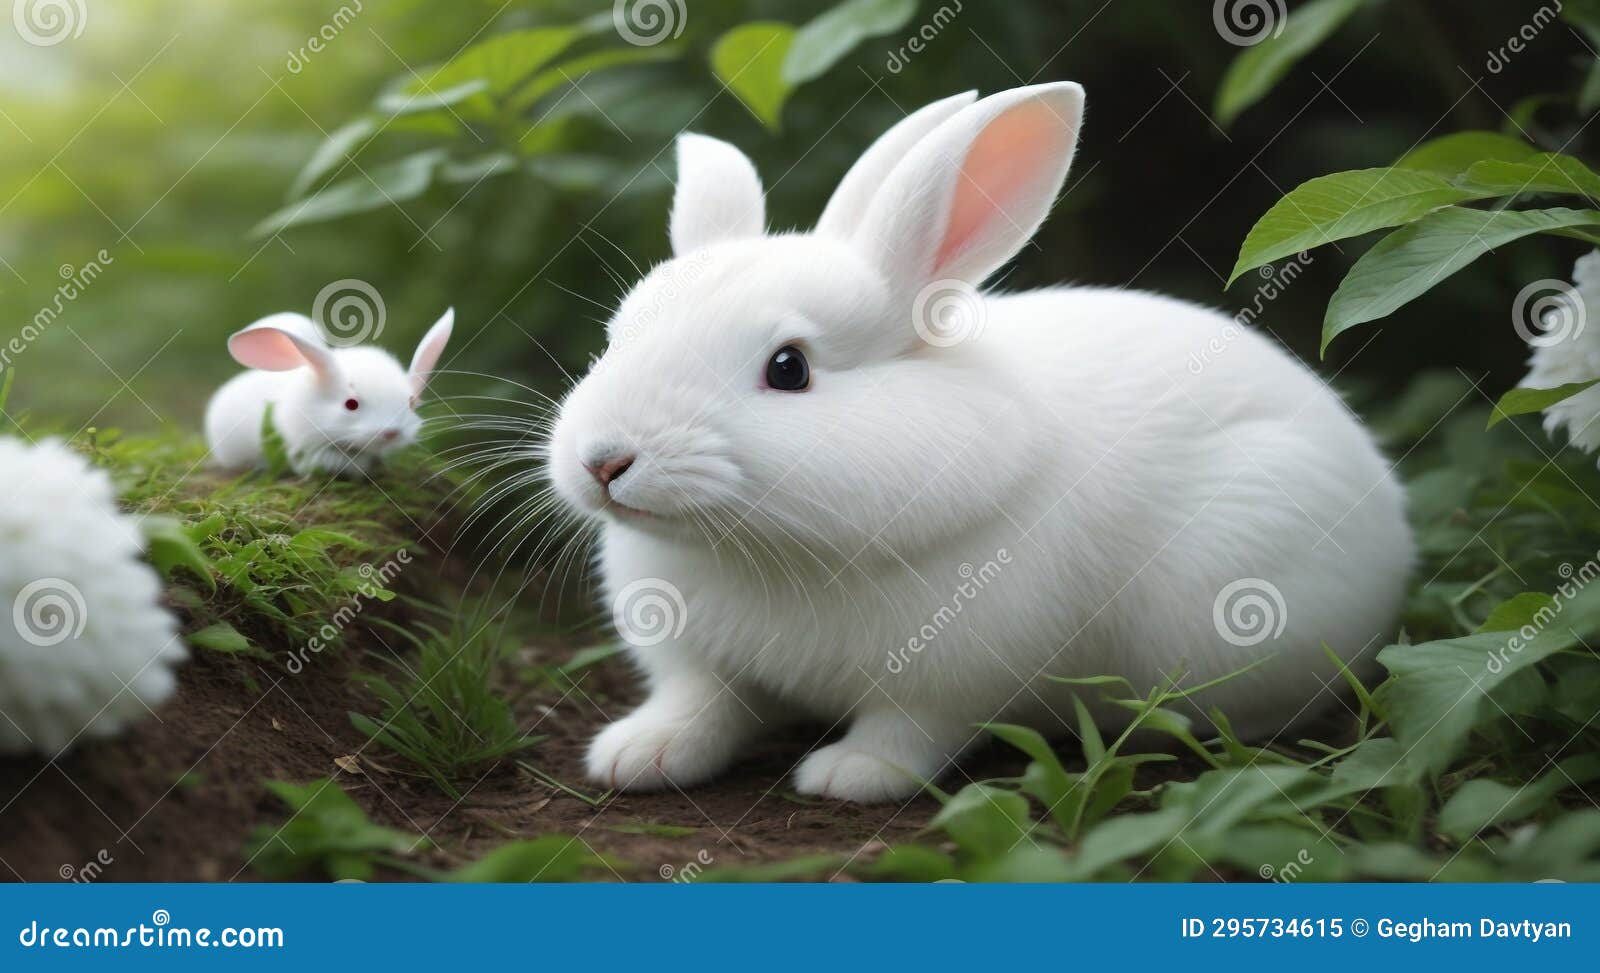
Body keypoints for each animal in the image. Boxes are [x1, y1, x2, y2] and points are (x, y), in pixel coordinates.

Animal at [544, 83, 1415, 803]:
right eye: (616, 336)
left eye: (788, 368)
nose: (605, 460)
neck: (766, 551)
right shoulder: (698, 664)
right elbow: (701, 707)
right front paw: (636, 755)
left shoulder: (950, 679)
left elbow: (909, 731)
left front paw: (850, 775)